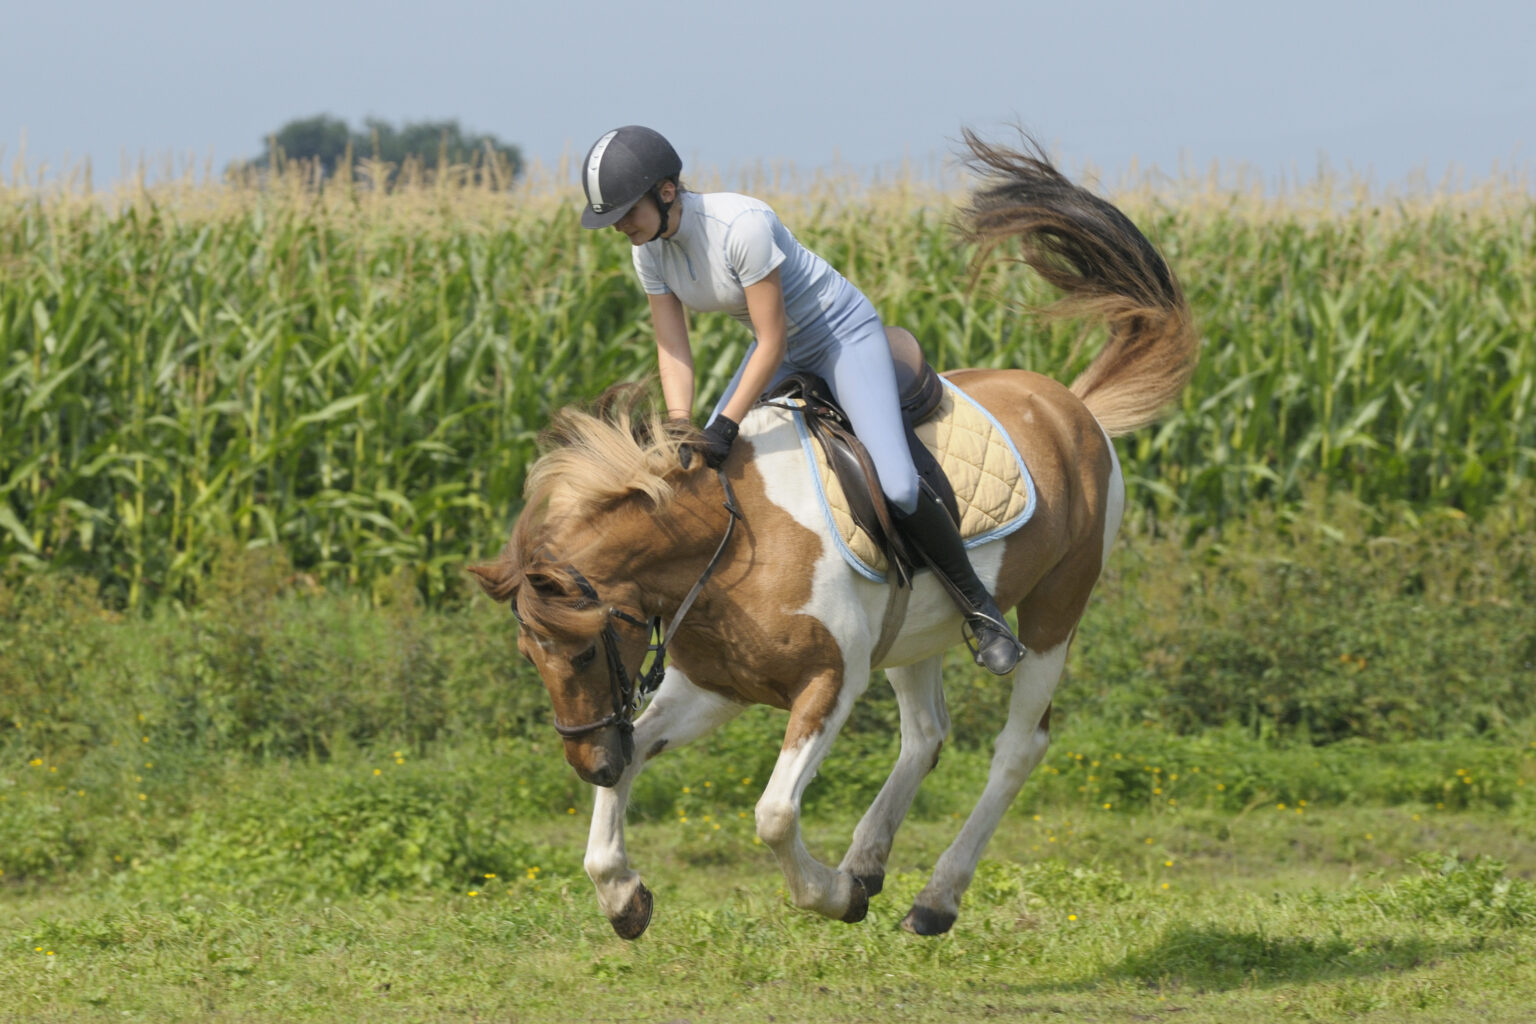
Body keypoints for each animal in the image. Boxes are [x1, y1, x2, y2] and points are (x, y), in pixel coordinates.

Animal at [469, 132, 1199, 938]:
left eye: (579, 650)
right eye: (528, 655)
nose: (588, 763)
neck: (725, 550)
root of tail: (1076, 406)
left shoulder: (829, 684)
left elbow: (774, 815)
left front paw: (832, 896)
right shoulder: (714, 689)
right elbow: (637, 786)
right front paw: (625, 896)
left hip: (1054, 611)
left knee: (1017, 746)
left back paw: (933, 897)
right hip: (915, 630)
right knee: (926, 734)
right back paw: (869, 860)